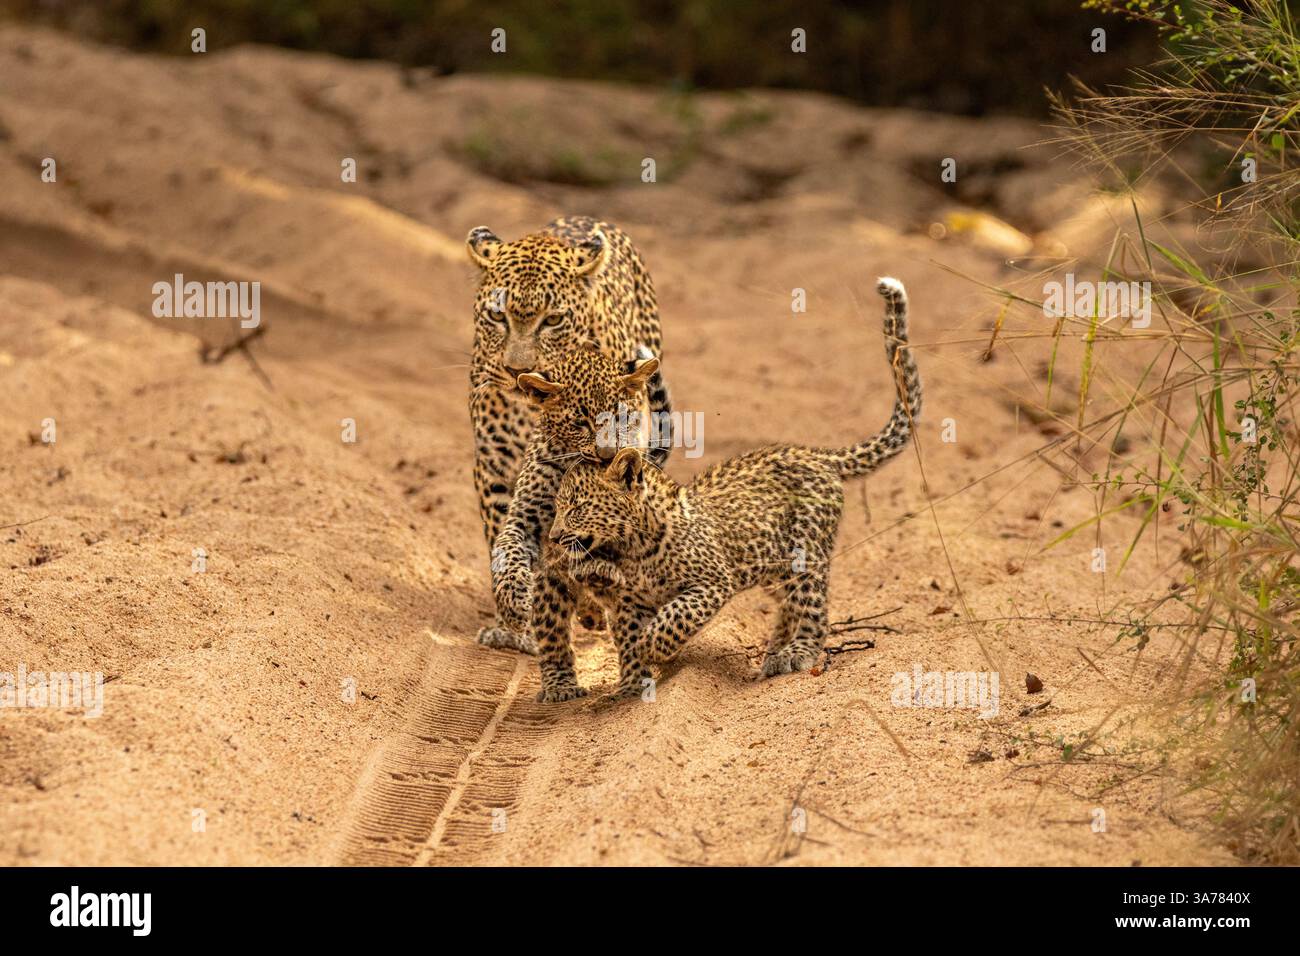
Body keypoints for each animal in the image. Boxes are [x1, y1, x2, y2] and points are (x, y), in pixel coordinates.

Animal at [466, 216, 673, 653]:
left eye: (553, 320)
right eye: (498, 317)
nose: (517, 370)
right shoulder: (496, 471)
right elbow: (503, 550)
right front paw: (514, 624)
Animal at [532, 277, 921, 702]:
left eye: (578, 507)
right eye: (557, 507)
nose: (554, 535)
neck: (633, 547)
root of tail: (816, 454)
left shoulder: (712, 582)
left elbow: (673, 618)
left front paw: (653, 648)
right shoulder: (629, 603)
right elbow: (628, 636)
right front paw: (633, 684)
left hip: (806, 551)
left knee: (813, 606)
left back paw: (798, 652)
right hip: (773, 563)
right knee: (789, 603)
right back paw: (773, 653)